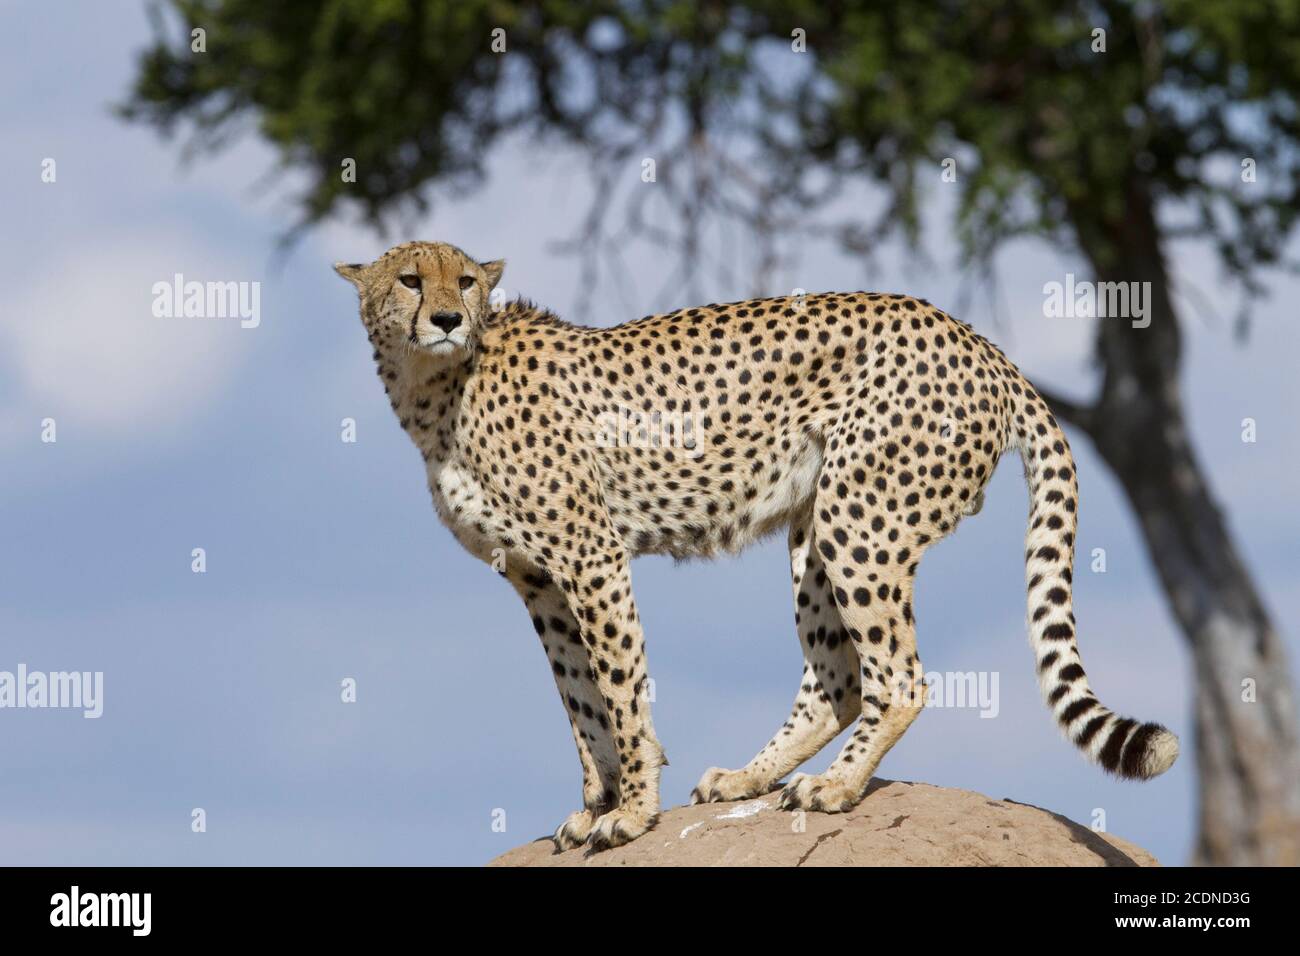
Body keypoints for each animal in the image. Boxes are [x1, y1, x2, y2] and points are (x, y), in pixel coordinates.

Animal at [334, 240, 1179, 853]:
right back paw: (748, 779)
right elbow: (579, 698)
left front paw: (631, 812)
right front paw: (595, 805)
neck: (435, 388)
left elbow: (619, 688)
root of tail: (978, 340)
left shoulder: (589, 557)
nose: (448, 318)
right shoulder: (535, 578)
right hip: (818, 534)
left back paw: (835, 788)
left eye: (466, 281)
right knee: (839, 679)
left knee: (899, 678)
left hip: (858, 518)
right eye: (410, 279)